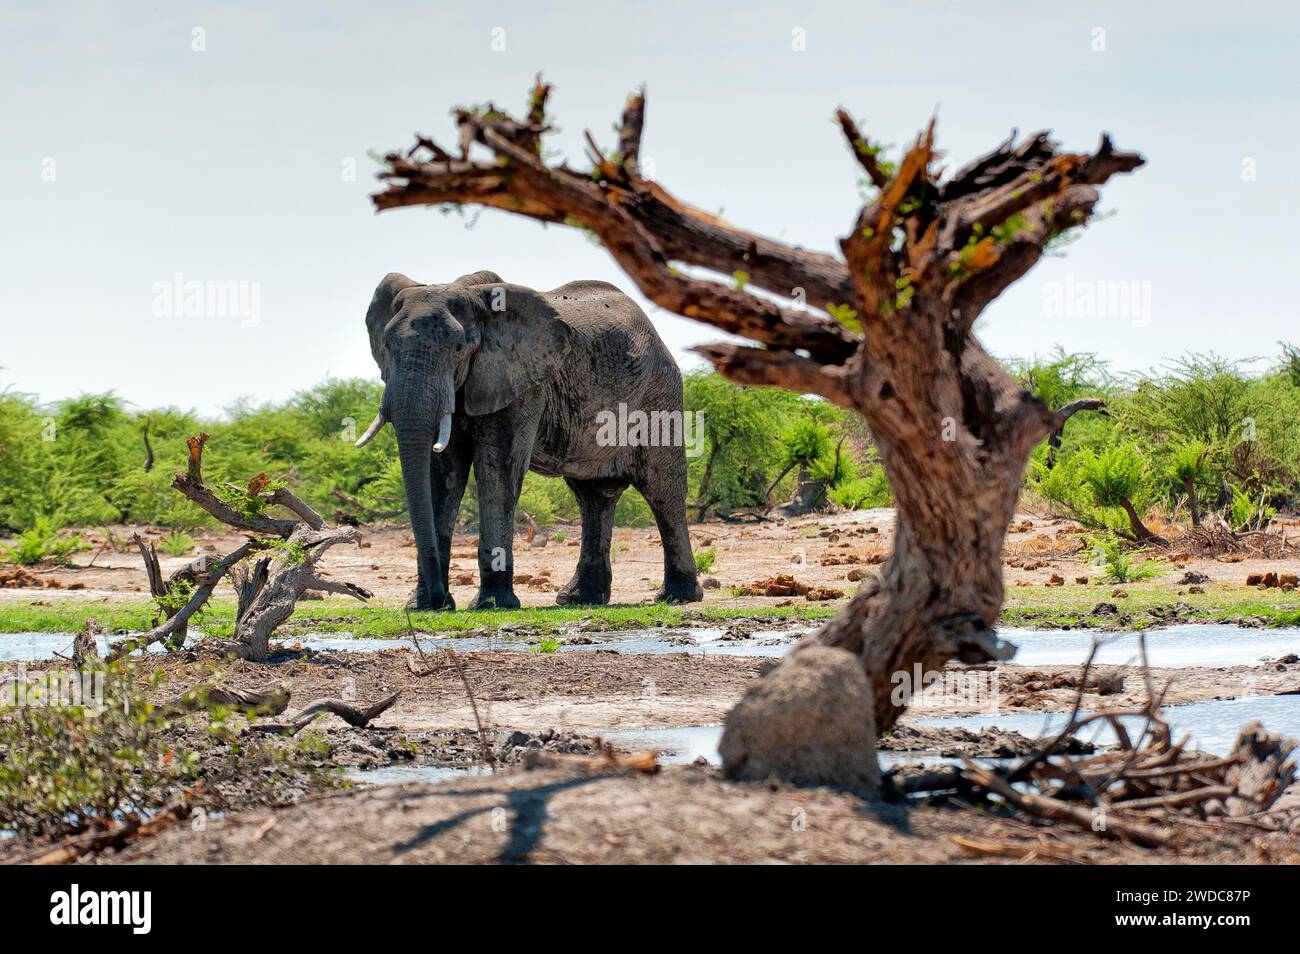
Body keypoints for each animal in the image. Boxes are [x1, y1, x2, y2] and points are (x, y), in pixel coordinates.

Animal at [356, 269, 703, 611]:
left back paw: (677, 596)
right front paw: (424, 606)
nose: (441, 600)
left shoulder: (521, 383)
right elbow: (442, 475)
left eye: (457, 349)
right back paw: (579, 599)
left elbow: (497, 470)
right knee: (593, 495)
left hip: (660, 395)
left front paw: (492, 605)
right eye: (386, 345)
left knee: (662, 490)